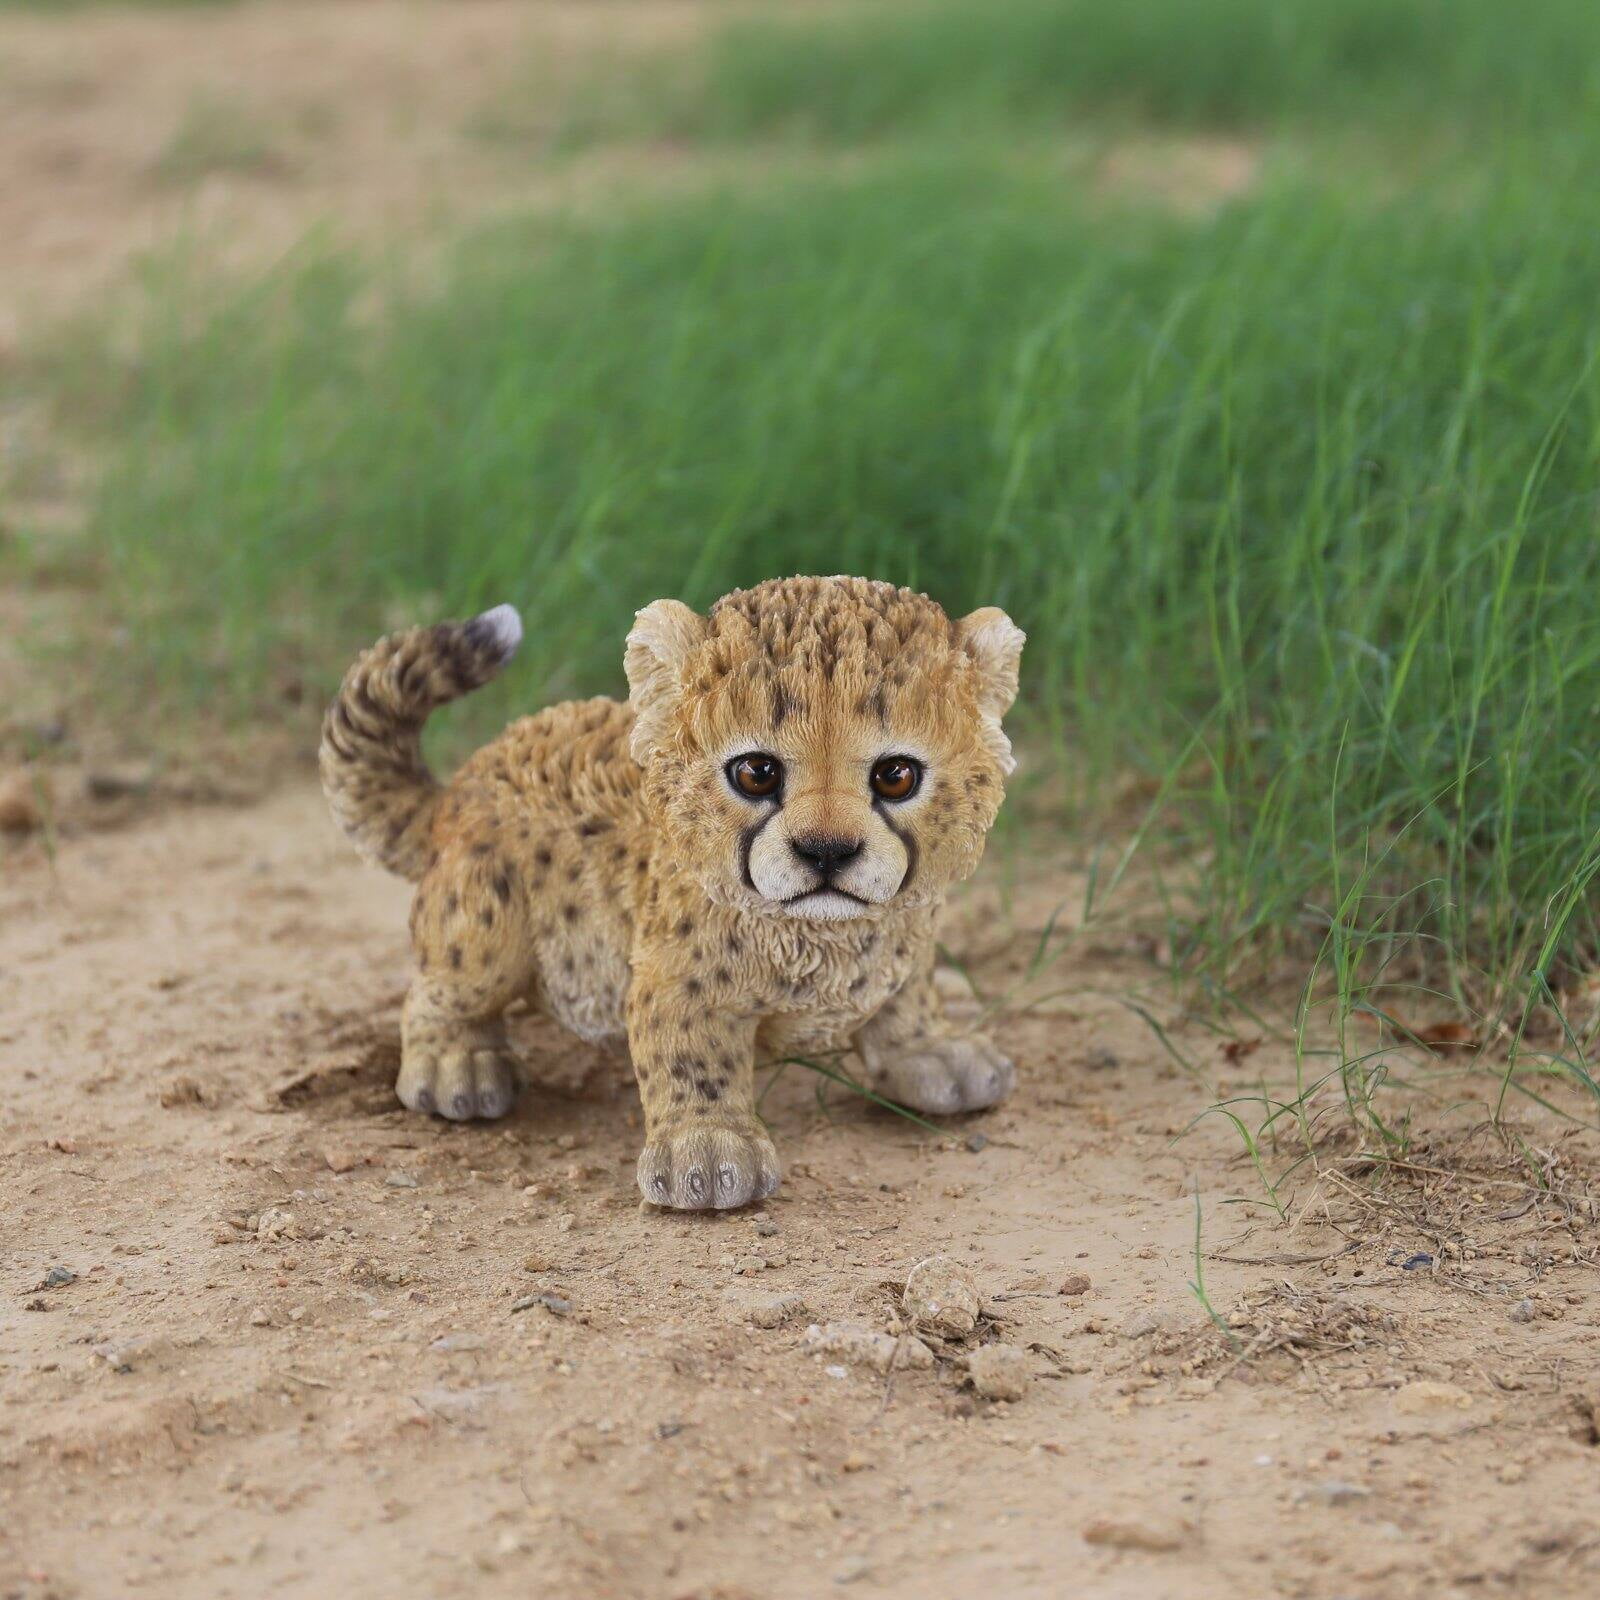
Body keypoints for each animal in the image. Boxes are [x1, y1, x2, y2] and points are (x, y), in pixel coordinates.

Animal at [319, 575, 1024, 1211]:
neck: (824, 932)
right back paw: (454, 1064)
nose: (826, 852)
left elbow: (907, 999)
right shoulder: (676, 981)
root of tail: (466, 778)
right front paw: (707, 1149)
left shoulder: (903, 944)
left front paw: (935, 1052)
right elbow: (691, 1056)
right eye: (756, 772)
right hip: (485, 928)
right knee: (439, 989)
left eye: (896, 775)